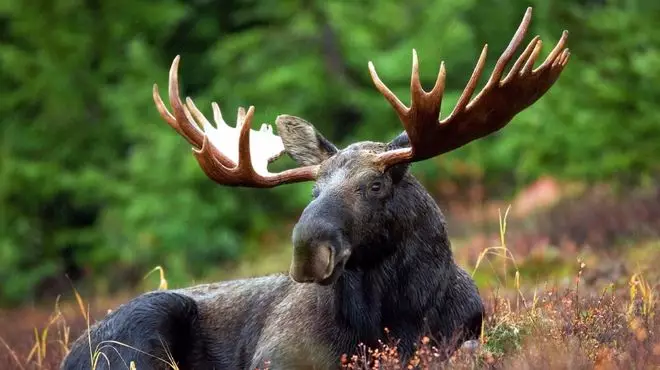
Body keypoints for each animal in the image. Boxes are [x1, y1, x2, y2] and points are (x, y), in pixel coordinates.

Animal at [62, 8, 568, 370]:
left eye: (375, 184)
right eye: (313, 191)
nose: (308, 250)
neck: (394, 318)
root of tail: (69, 354)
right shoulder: (276, 358)